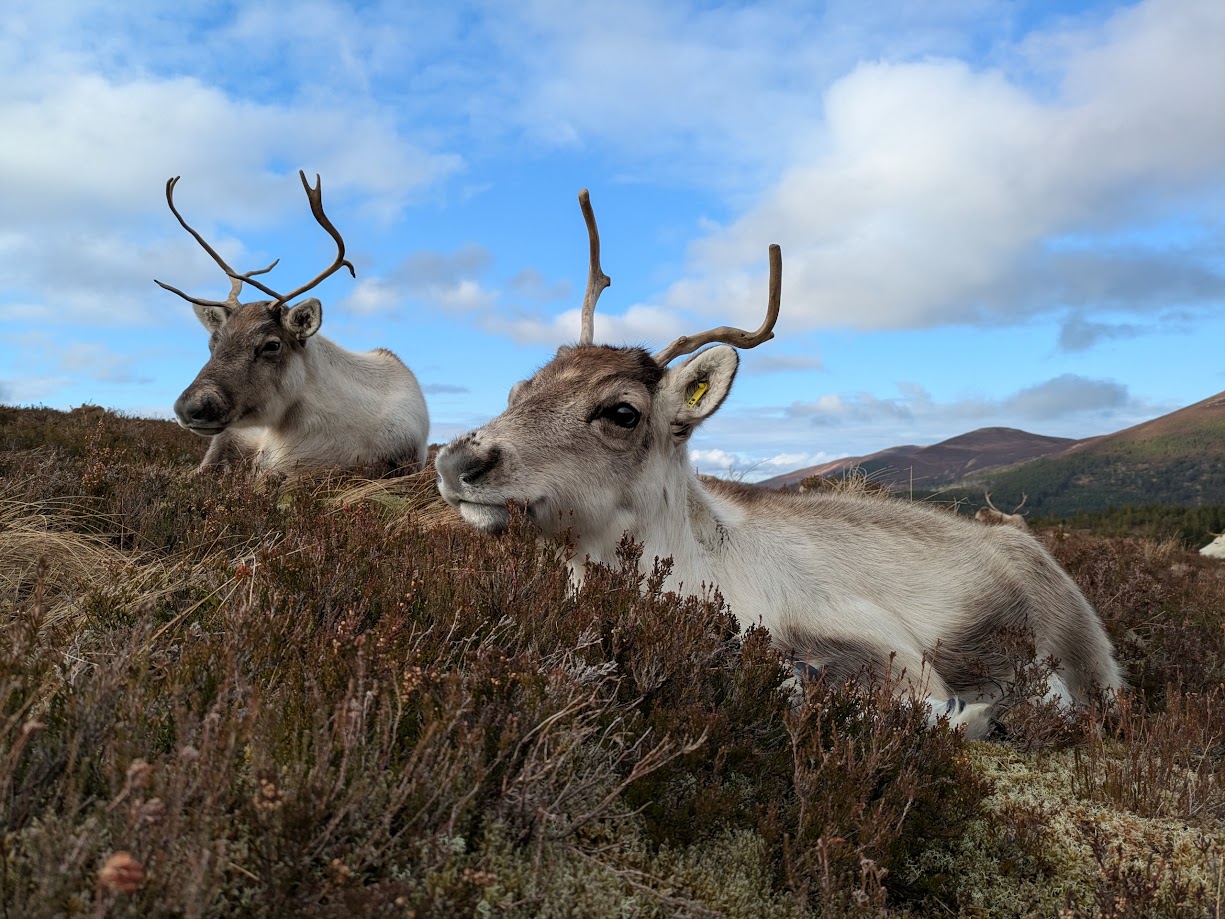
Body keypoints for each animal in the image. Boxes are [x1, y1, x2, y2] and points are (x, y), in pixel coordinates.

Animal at [435, 190, 1122, 738]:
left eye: (622, 411)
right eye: (520, 390)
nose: (459, 458)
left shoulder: (890, 646)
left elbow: (845, 693)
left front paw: (973, 713)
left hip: (1087, 660)